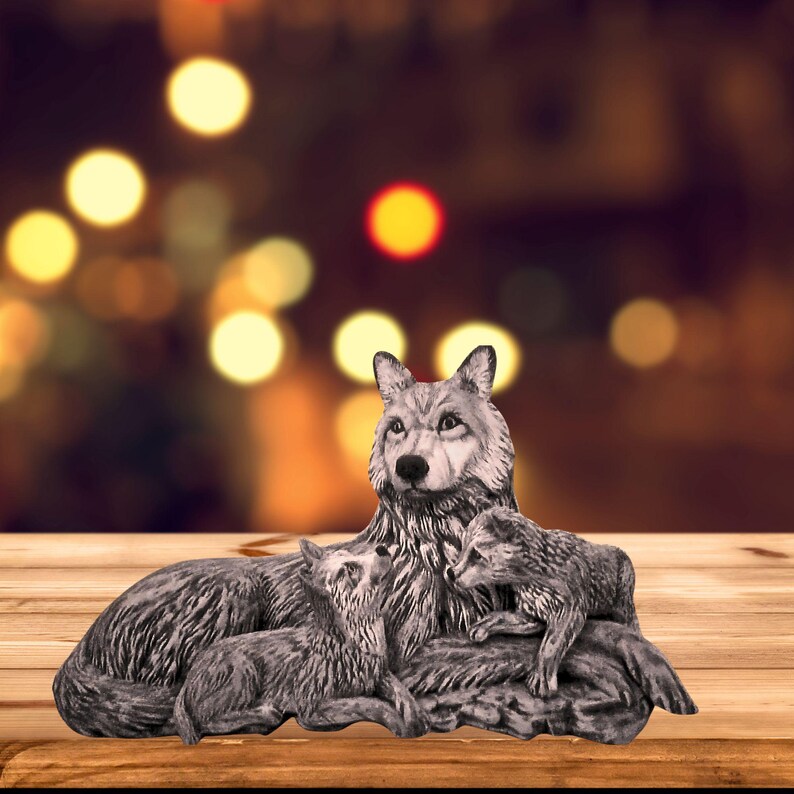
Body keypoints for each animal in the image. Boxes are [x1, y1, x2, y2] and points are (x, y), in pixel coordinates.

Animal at [174, 540, 428, 743]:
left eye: (349, 554)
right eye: (350, 568)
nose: (382, 548)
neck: (353, 646)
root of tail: (190, 678)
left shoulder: (381, 673)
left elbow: (404, 695)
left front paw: (417, 719)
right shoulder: (312, 706)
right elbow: (369, 704)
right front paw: (400, 725)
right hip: (243, 670)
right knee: (205, 718)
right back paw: (264, 713)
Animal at [446, 505, 640, 697]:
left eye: (477, 554)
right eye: (462, 548)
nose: (450, 573)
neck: (536, 572)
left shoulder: (570, 611)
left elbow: (551, 644)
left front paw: (542, 679)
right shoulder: (531, 614)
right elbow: (501, 616)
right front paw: (482, 625)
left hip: (623, 605)